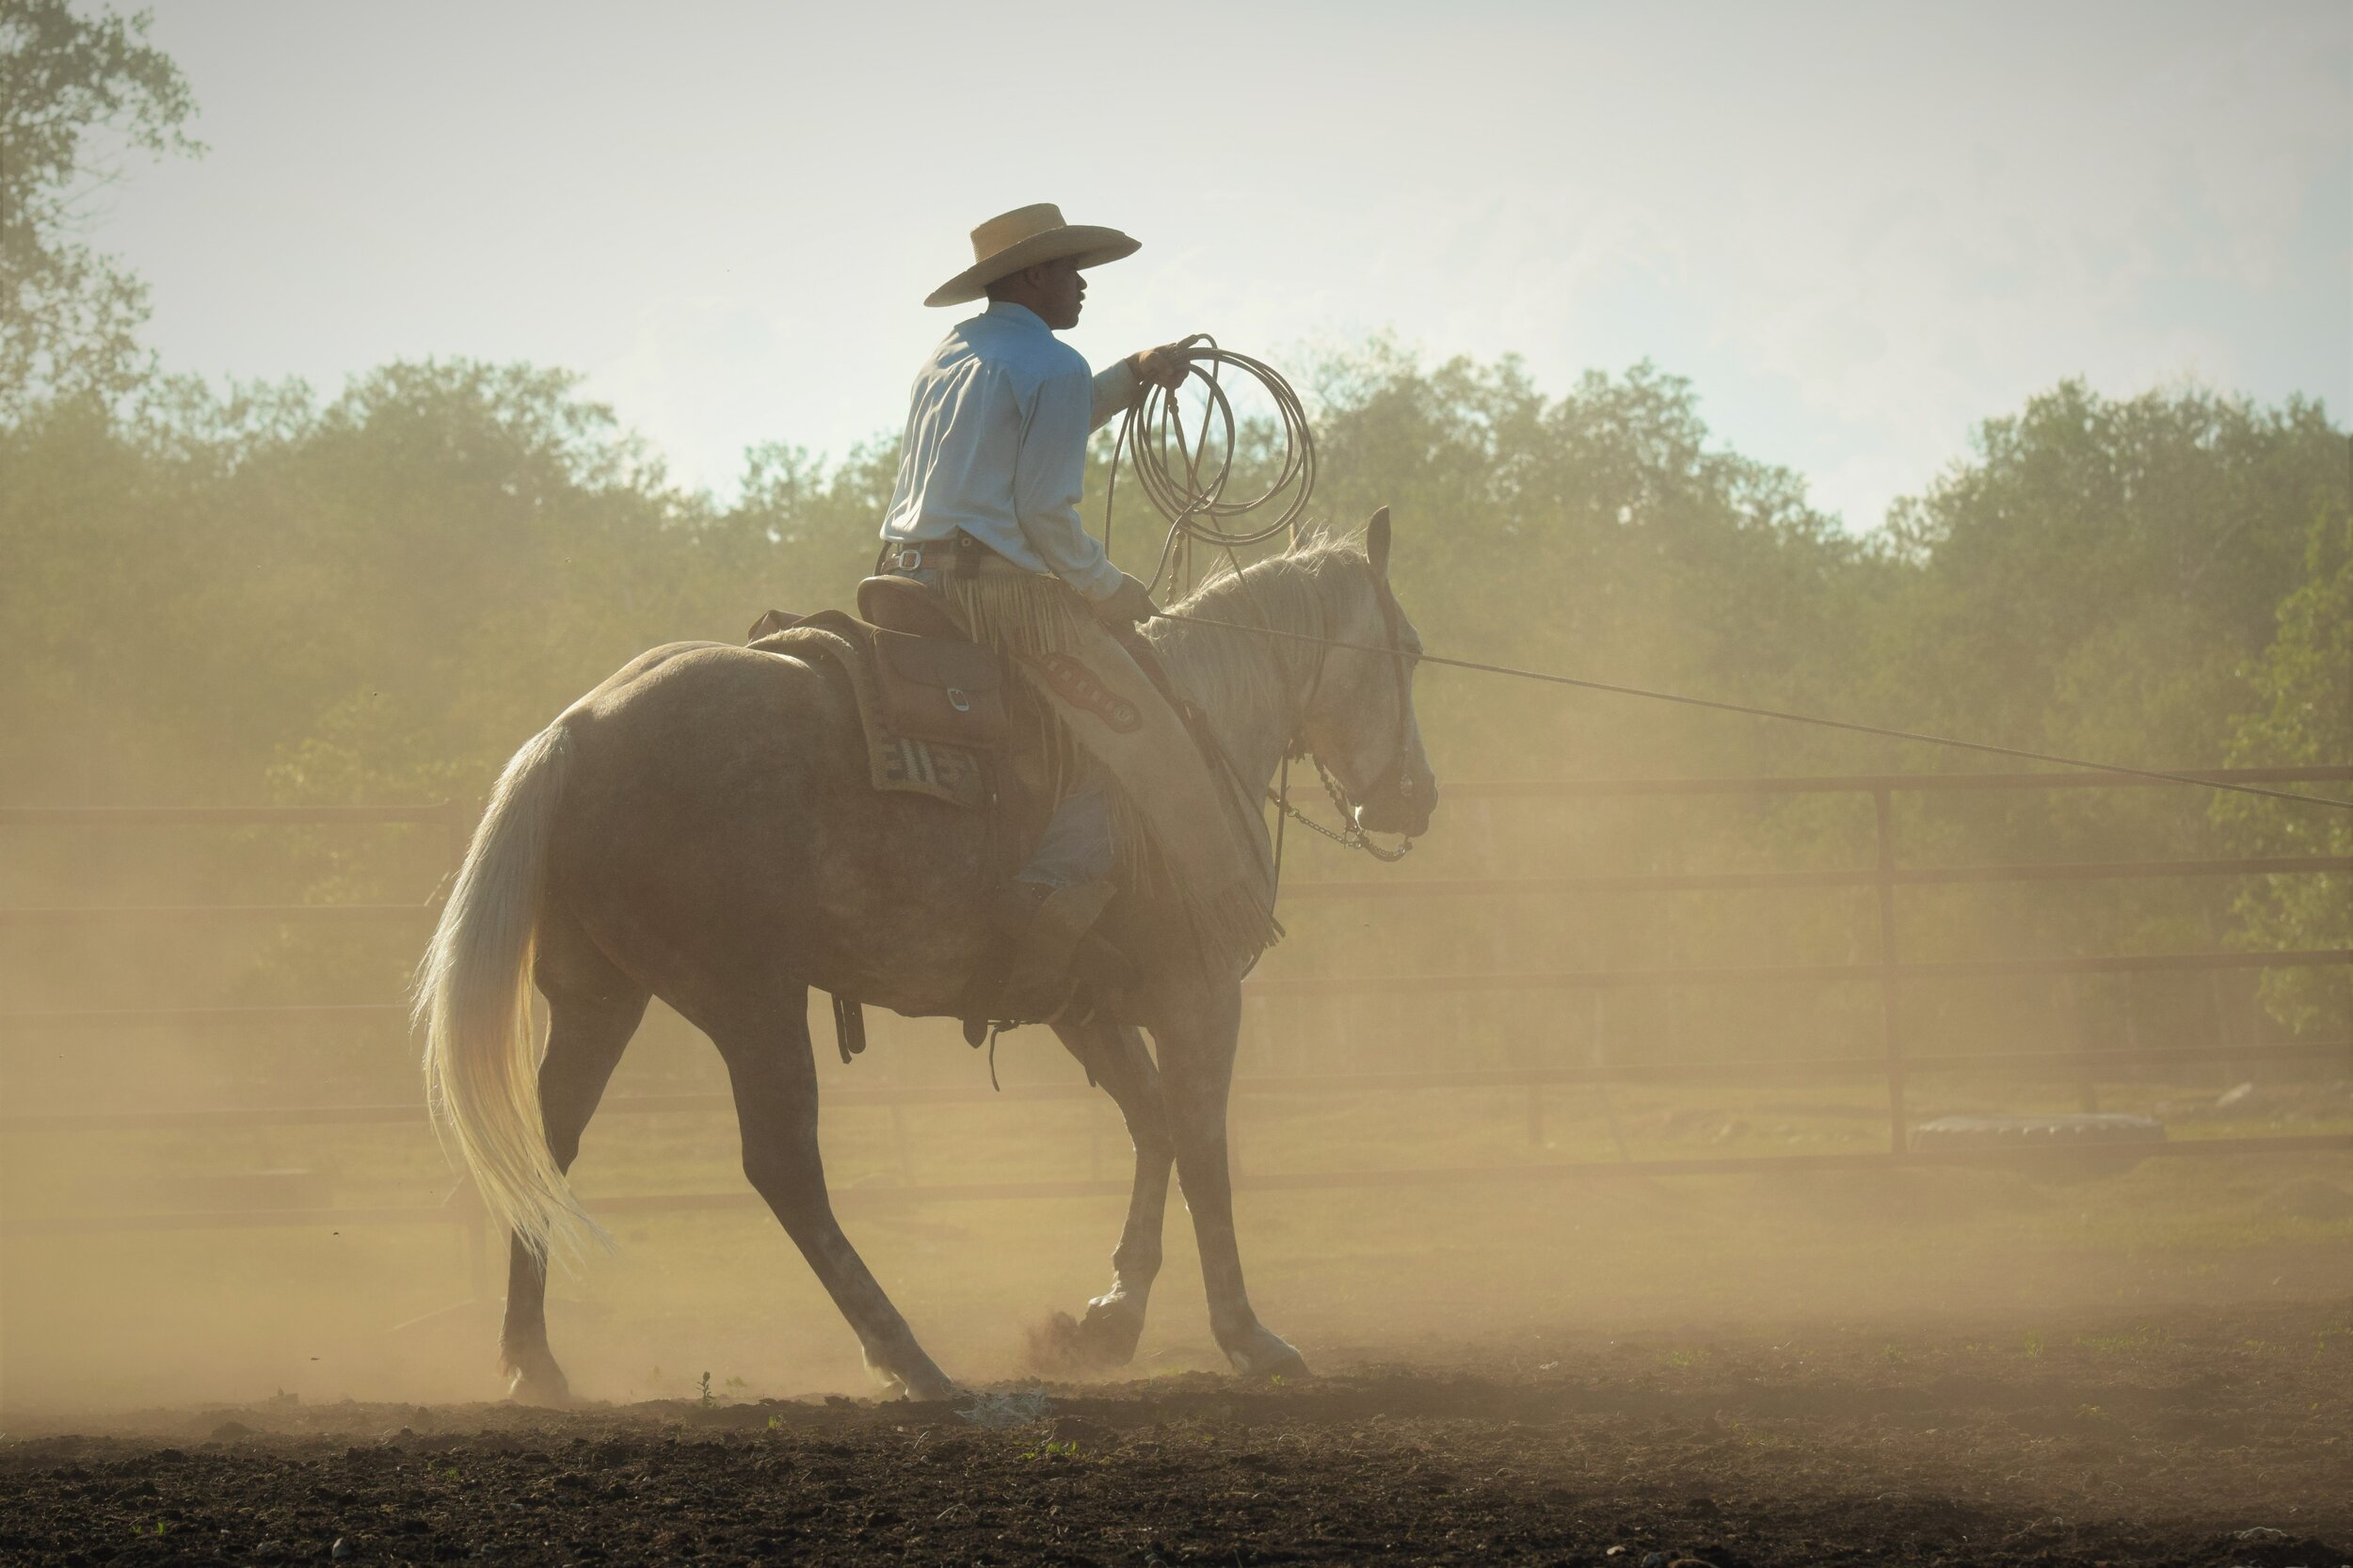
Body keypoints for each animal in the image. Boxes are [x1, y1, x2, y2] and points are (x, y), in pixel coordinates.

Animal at [414, 509, 1438, 1405]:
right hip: (751, 999)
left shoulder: (1084, 1006)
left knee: (549, 1142)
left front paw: (1107, 1320)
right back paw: (907, 1356)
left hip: (602, 997)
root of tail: (576, 731)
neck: (1193, 733)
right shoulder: (1200, 993)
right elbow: (1202, 1151)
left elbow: (1152, 1129)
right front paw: (1248, 1337)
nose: (1414, 798)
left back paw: (533, 1363)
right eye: (1411, 647)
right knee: (784, 1166)